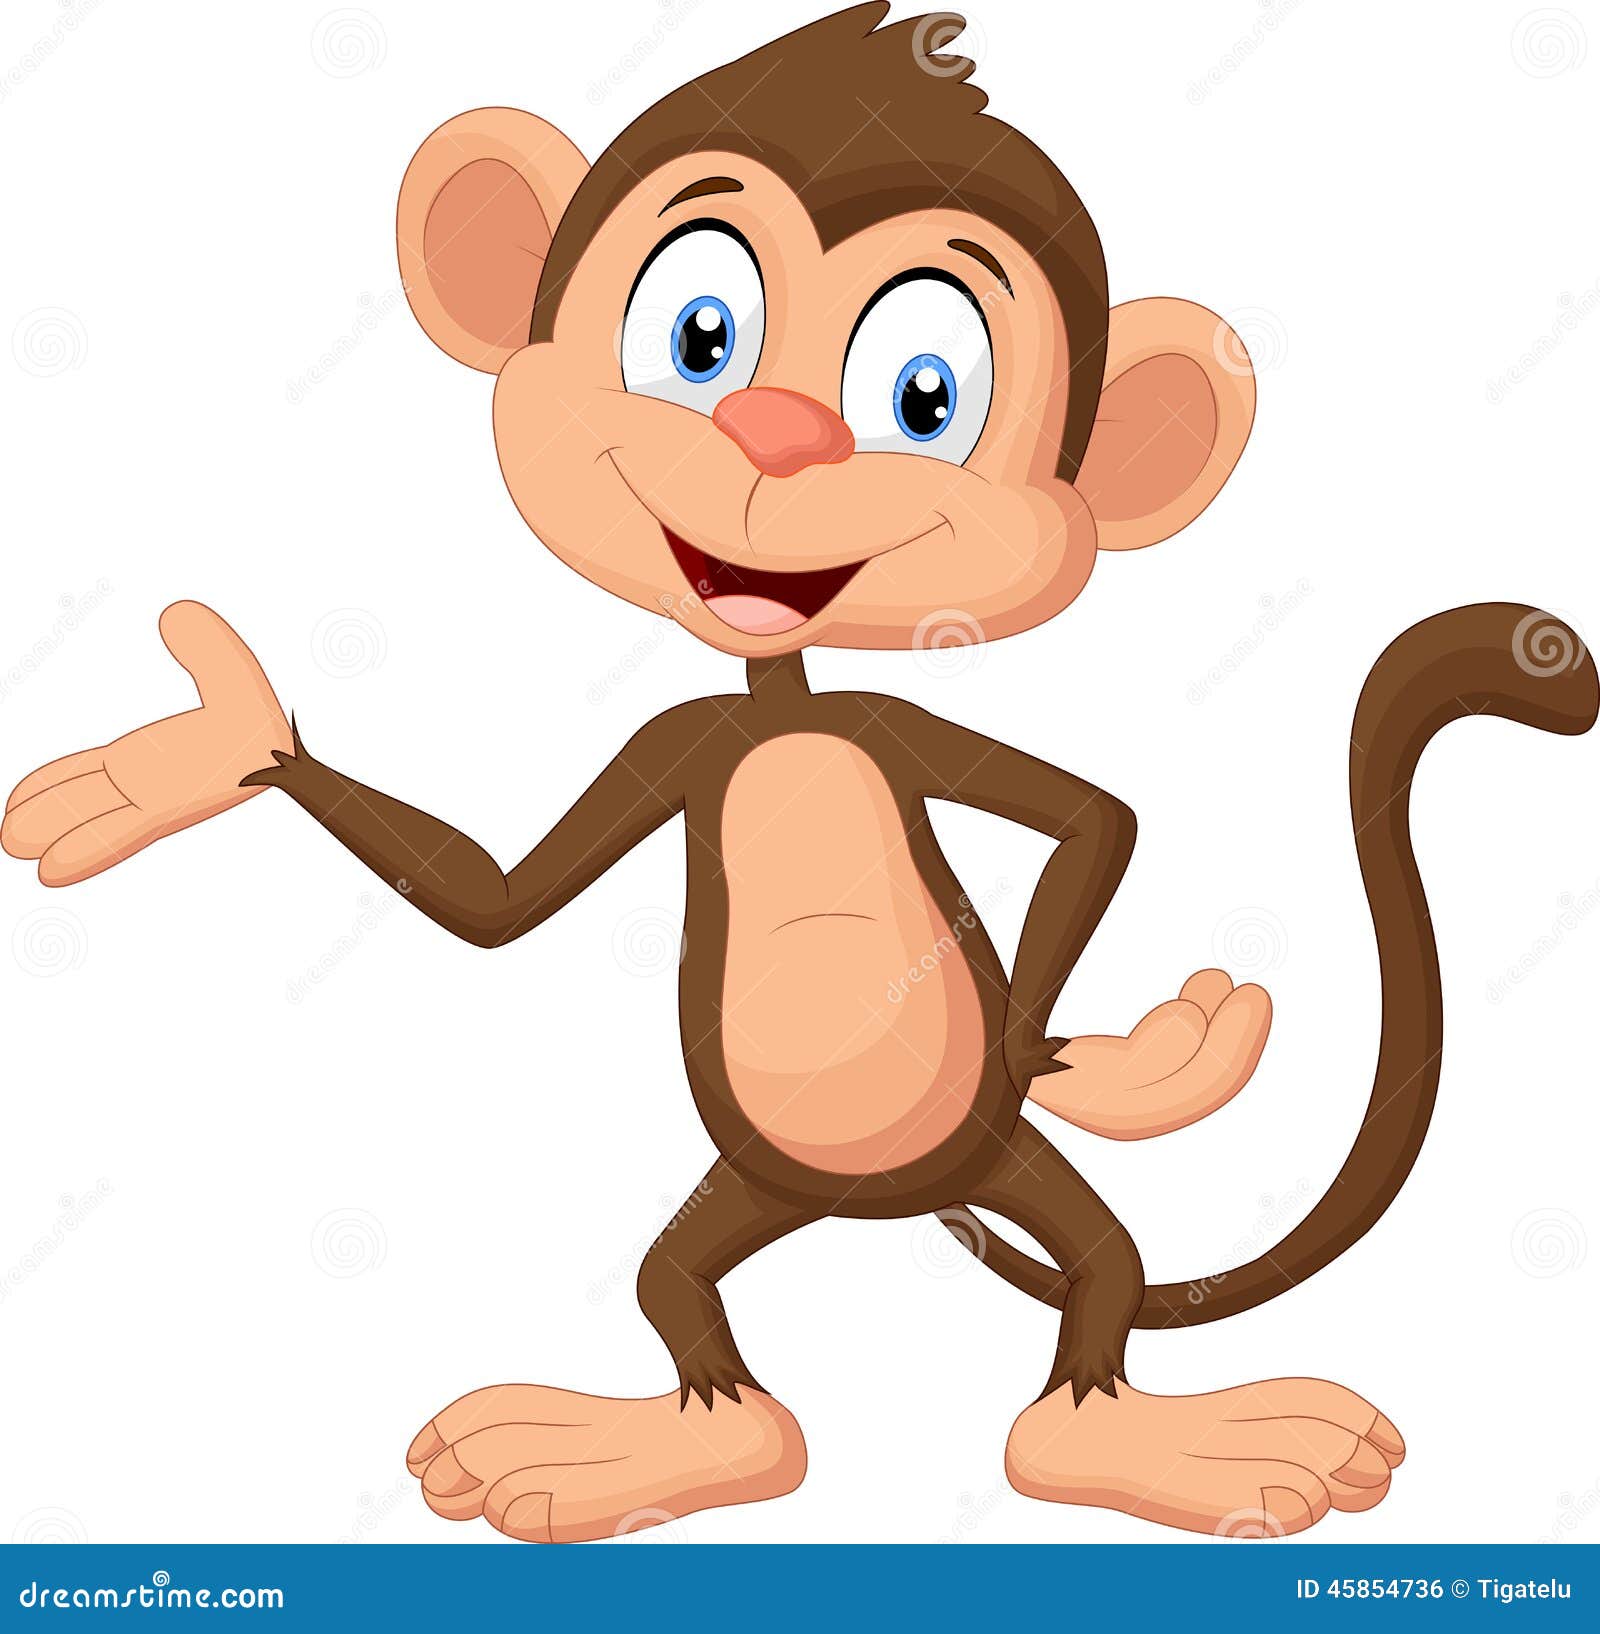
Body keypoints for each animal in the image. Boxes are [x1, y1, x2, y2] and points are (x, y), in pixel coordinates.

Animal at [4, 5, 1595, 1544]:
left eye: (926, 392)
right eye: (700, 330)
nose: (780, 439)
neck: (783, 698)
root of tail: (886, 1206)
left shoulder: (884, 717)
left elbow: (1093, 814)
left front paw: (1045, 1048)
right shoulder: (679, 742)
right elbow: (502, 906)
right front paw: (236, 745)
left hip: (992, 1165)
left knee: (1101, 1266)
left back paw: (1137, 1416)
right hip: (747, 1189)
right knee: (679, 1289)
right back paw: (655, 1438)